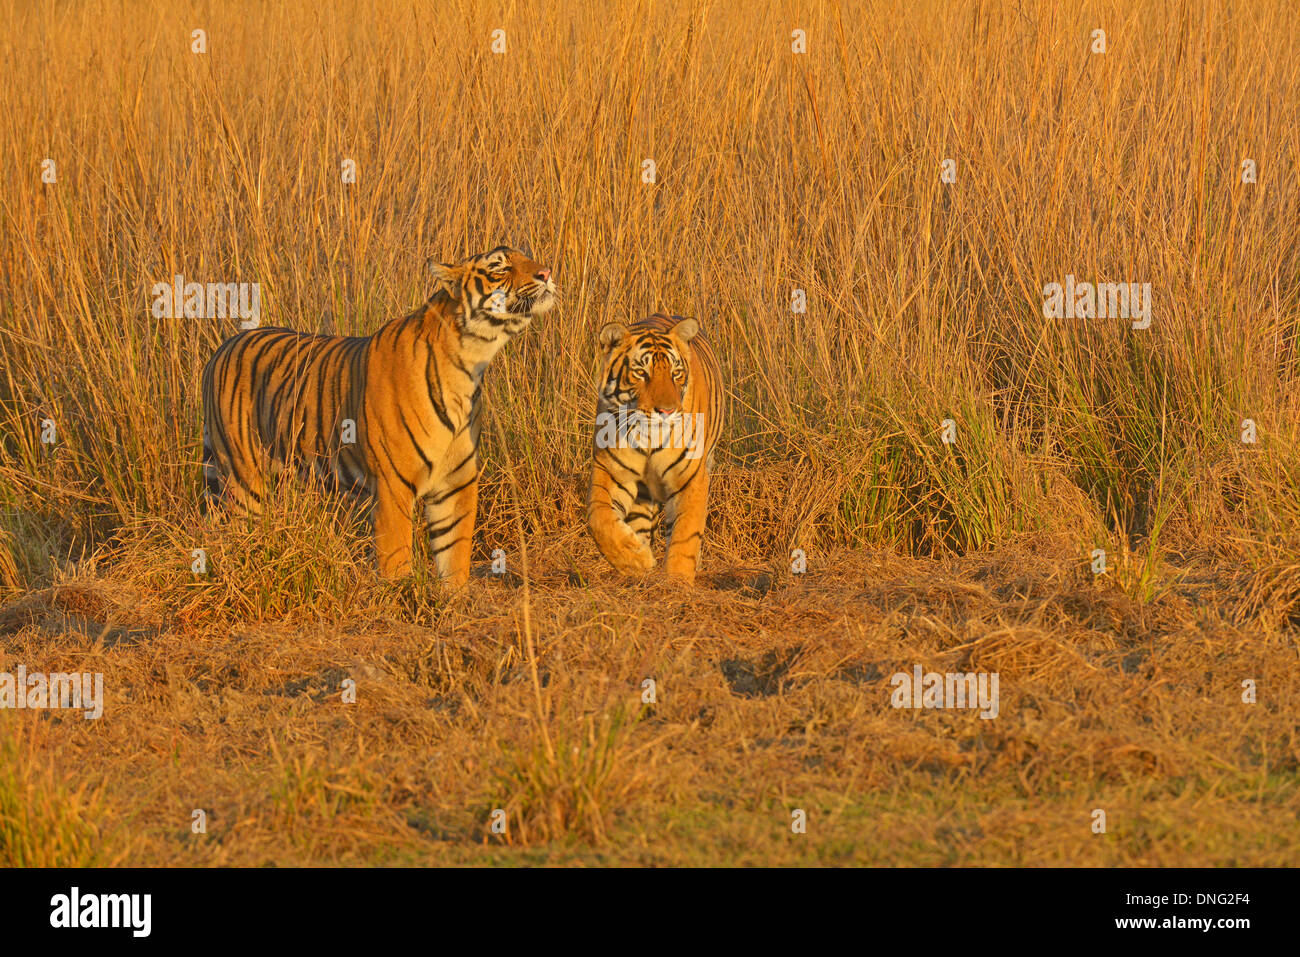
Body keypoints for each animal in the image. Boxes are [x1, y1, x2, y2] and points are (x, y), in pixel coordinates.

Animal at [200, 245, 557, 586]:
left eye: (525, 256)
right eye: (499, 266)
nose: (547, 272)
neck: (469, 364)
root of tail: (222, 348)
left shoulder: (455, 484)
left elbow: (454, 557)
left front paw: (453, 600)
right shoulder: (393, 484)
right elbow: (396, 557)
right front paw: (402, 598)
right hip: (242, 478)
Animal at [587, 313, 725, 584]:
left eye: (676, 373)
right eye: (641, 373)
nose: (667, 411)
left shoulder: (691, 479)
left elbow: (684, 537)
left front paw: (677, 583)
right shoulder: (611, 471)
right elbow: (599, 518)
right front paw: (636, 560)